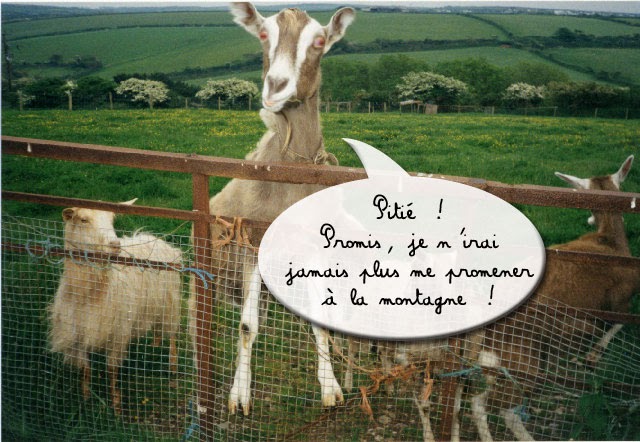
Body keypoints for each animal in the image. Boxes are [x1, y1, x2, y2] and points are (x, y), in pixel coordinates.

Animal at [49, 200, 182, 414]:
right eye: (83, 219)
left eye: (112, 219)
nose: (115, 245)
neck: (92, 294)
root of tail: (154, 238)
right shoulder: (78, 333)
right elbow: (85, 370)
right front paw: (85, 400)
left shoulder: (118, 331)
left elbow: (111, 369)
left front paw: (117, 407)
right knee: (157, 331)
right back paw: (154, 347)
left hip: (169, 303)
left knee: (171, 336)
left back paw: (172, 368)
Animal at [192, 2, 355, 416]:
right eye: (263, 34)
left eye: (320, 40)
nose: (276, 87)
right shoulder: (252, 245)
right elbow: (247, 327)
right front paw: (238, 397)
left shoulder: (313, 251)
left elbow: (321, 323)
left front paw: (331, 388)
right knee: (202, 324)